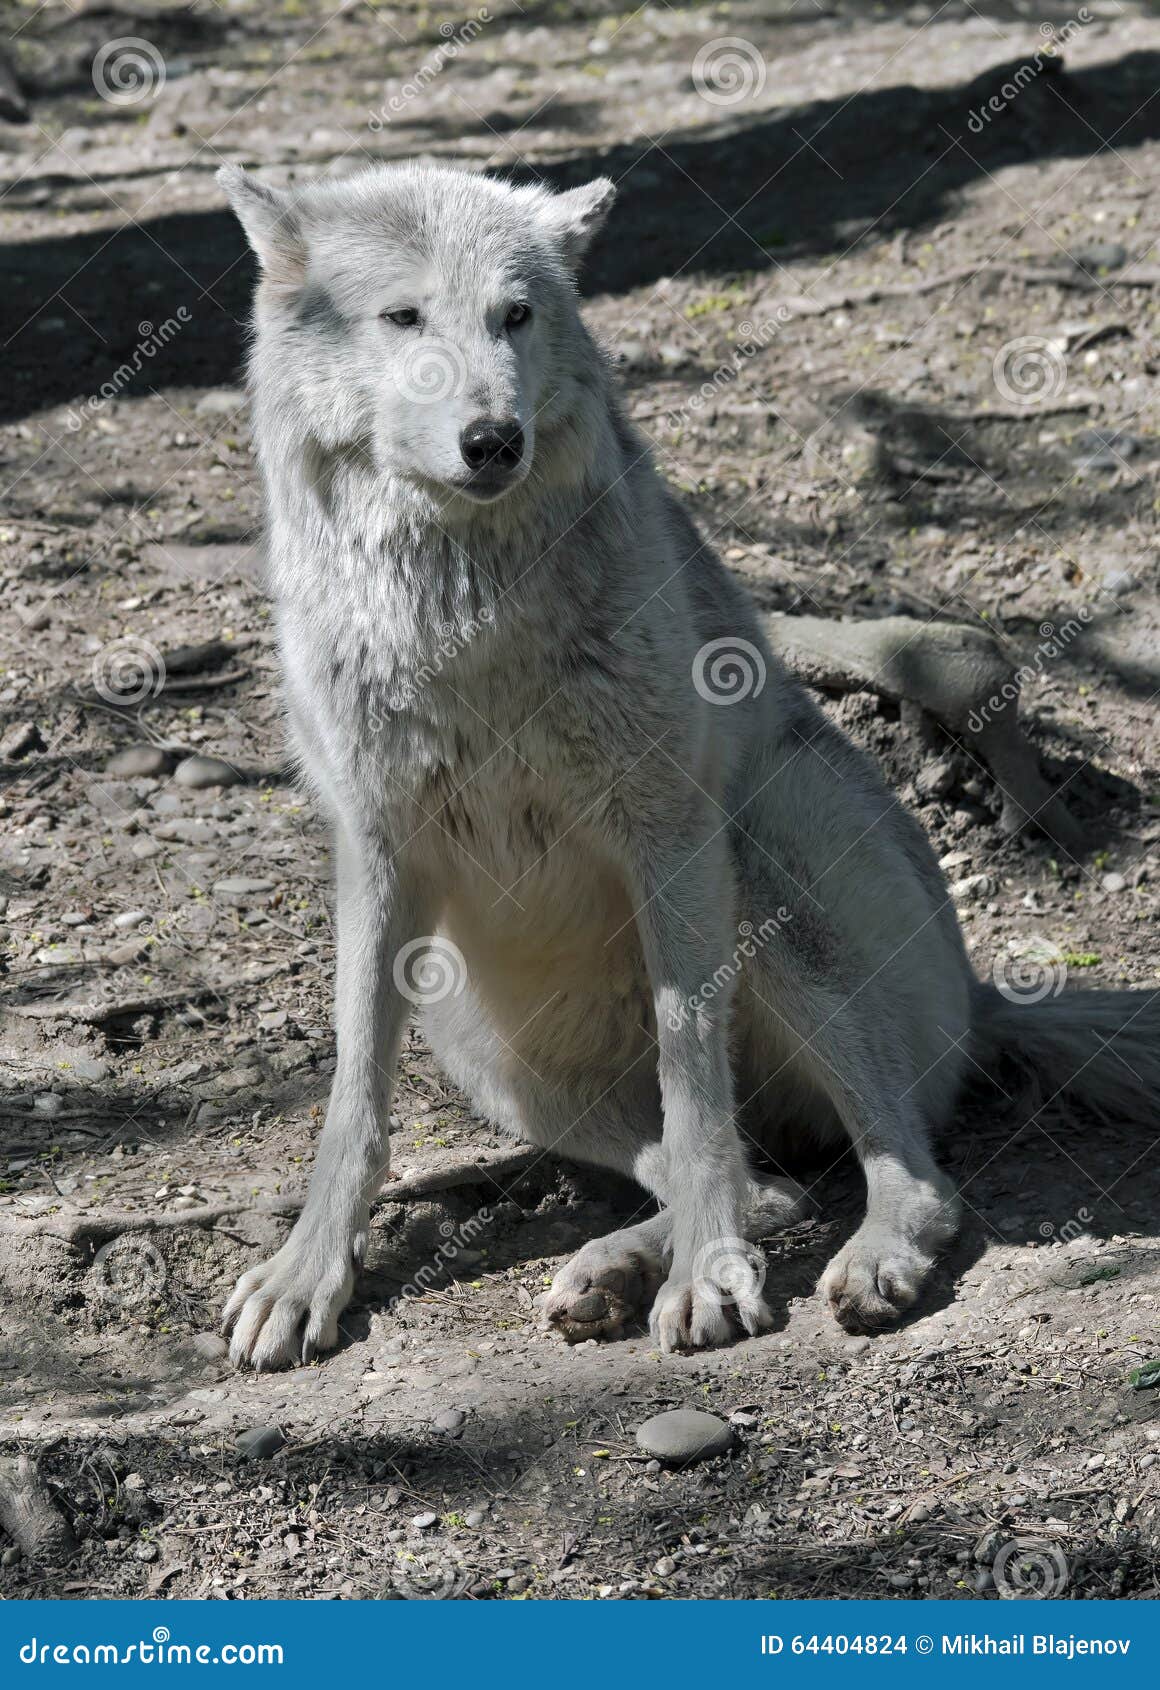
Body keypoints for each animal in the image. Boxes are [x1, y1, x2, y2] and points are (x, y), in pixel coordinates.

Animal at [218, 160, 1158, 1371]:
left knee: (902, 1167)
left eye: (514, 316)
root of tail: (986, 996)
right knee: (774, 1182)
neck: (461, 619)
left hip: (756, 855)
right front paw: (307, 1275)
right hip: (485, 1045)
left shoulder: (666, 826)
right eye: (403, 319)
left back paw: (860, 1261)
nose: (493, 439)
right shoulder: (375, 848)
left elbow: (692, 1074)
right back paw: (616, 1267)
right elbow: (352, 1101)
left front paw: (708, 1275)